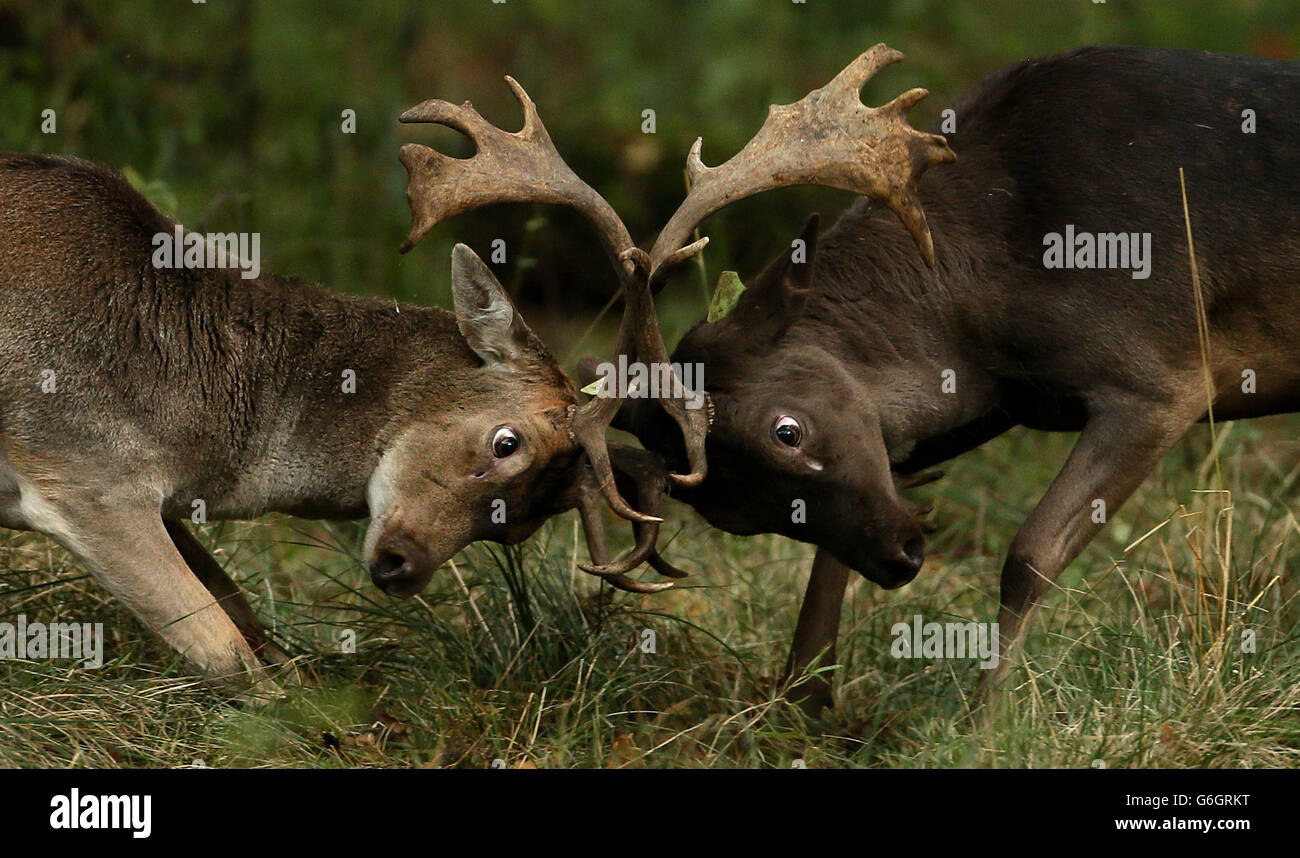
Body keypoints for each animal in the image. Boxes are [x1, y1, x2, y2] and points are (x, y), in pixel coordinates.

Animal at [0, 78, 709, 695]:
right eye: (506, 442)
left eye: (520, 526)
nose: (402, 564)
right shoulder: (85, 469)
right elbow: (228, 653)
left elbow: (247, 622)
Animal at [599, 44, 1300, 710]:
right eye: (732, 514)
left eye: (787, 430)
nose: (903, 558)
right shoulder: (991, 401)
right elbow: (831, 560)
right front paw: (801, 704)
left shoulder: (1163, 372)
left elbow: (1031, 556)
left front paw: (986, 720)